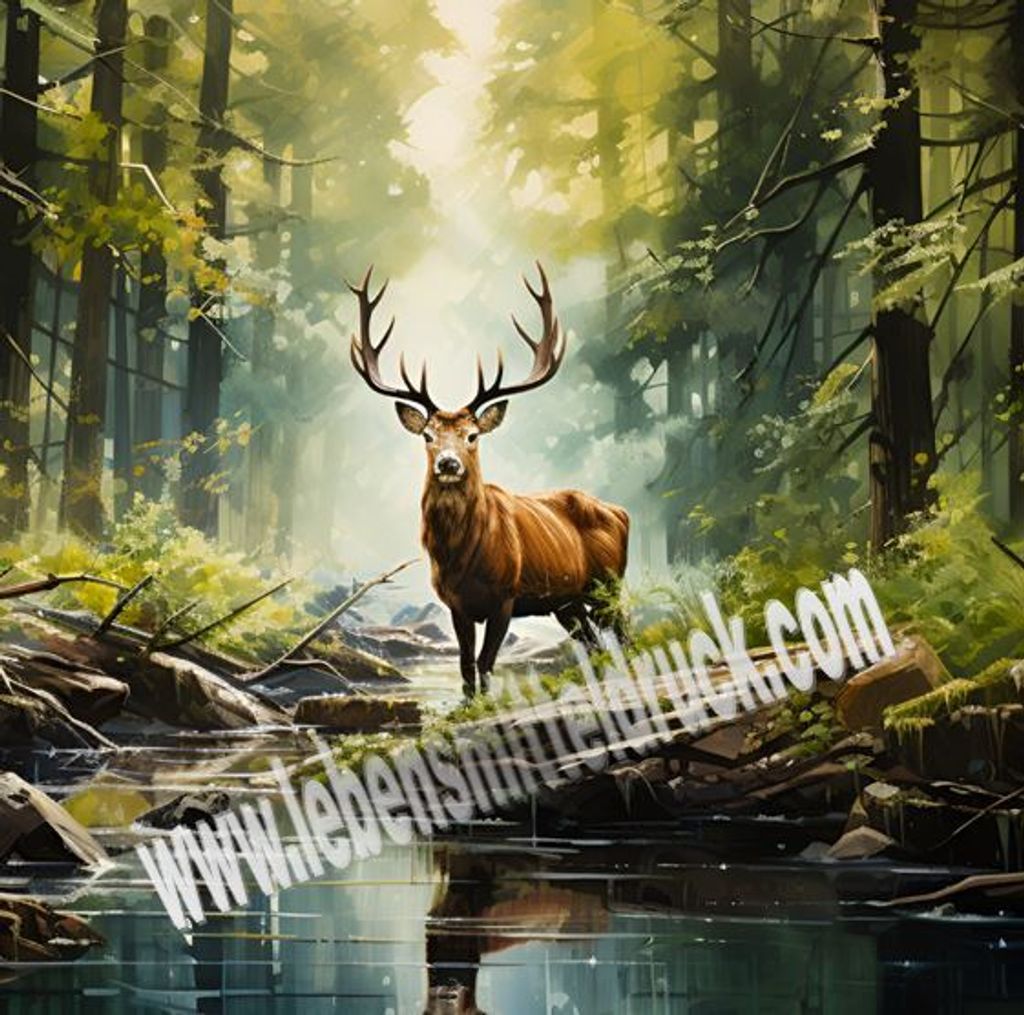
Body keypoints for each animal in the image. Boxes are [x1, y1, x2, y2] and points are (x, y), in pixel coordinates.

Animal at [349, 264, 630, 699]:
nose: (448, 463)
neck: (462, 557)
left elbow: (485, 663)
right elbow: (466, 667)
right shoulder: (454, 603)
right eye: (427, 435)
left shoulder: (506, 597)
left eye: (472, 435)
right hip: (566, 601)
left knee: (625, 630)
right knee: (592, 643)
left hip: (608, 582)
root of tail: (621, 512)